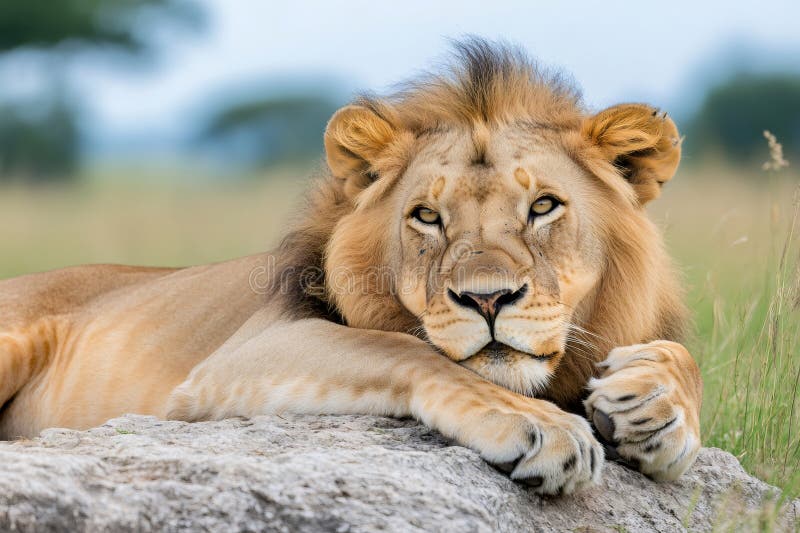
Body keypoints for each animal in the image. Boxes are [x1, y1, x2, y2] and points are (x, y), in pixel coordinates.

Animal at [0, 39, 702, 495]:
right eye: (427, 217)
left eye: (544, 206)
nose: (488, 299)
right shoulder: (244, 352)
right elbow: (403, 347)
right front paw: (542, 427)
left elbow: (683, 361)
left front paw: (654, 406)